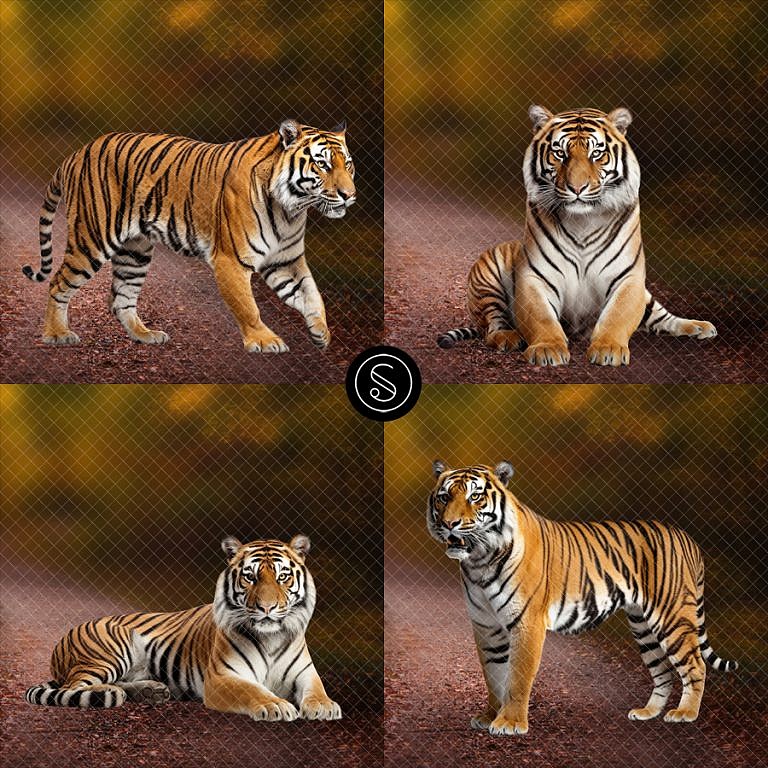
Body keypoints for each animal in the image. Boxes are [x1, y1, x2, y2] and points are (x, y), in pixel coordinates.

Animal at [22, 120, 355, 352]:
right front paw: (264, 340)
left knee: (121, 298)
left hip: (135, 251)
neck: (291, 209)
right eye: (323, 164)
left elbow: (312, 296)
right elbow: (248, 306)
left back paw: (146, 335)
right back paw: (57, 334)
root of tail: (78, 152)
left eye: (348, 164)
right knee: (58, 282)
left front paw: (321, 334)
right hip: (91, 239)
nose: (349, 195)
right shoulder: (231, 261)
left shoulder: (285, 262)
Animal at [25, 535, 342, 721]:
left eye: (282, 577)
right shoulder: (223, 677)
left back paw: (151, 690)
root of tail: (62, 639)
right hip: (110, 651)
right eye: (250, 577)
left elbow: (317, 690)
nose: (266, 608)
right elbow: (253, 692)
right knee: (77, 686)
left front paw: (324, 706)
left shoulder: (306, 673)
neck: (271, 637)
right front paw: (275, 705)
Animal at [427, 461, 737, 735]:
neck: (479, 562)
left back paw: (685, 713)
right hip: (643, 626)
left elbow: (517, 677)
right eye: (444, 497)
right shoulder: (486, 626)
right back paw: (647, 712)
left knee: (695, 664)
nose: (450, 523)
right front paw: (491, 716)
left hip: (671, 617)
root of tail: (688, 537)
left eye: (475, 496)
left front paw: (510, 724)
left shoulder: (526, 623)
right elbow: (493, 675)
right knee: (663, 671)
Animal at [437, 106, 717, 366]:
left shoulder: (629, 278)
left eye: (597, 154)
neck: (583, 221)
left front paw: (608, 349)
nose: (577, 188)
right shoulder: (534, 278)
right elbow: (542, 317)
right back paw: (508, 337)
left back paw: (700, 326)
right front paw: (547, 349)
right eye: (560, 153)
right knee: (492, 323)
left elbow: (616, 315)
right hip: (489, 274)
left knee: (660, 315)